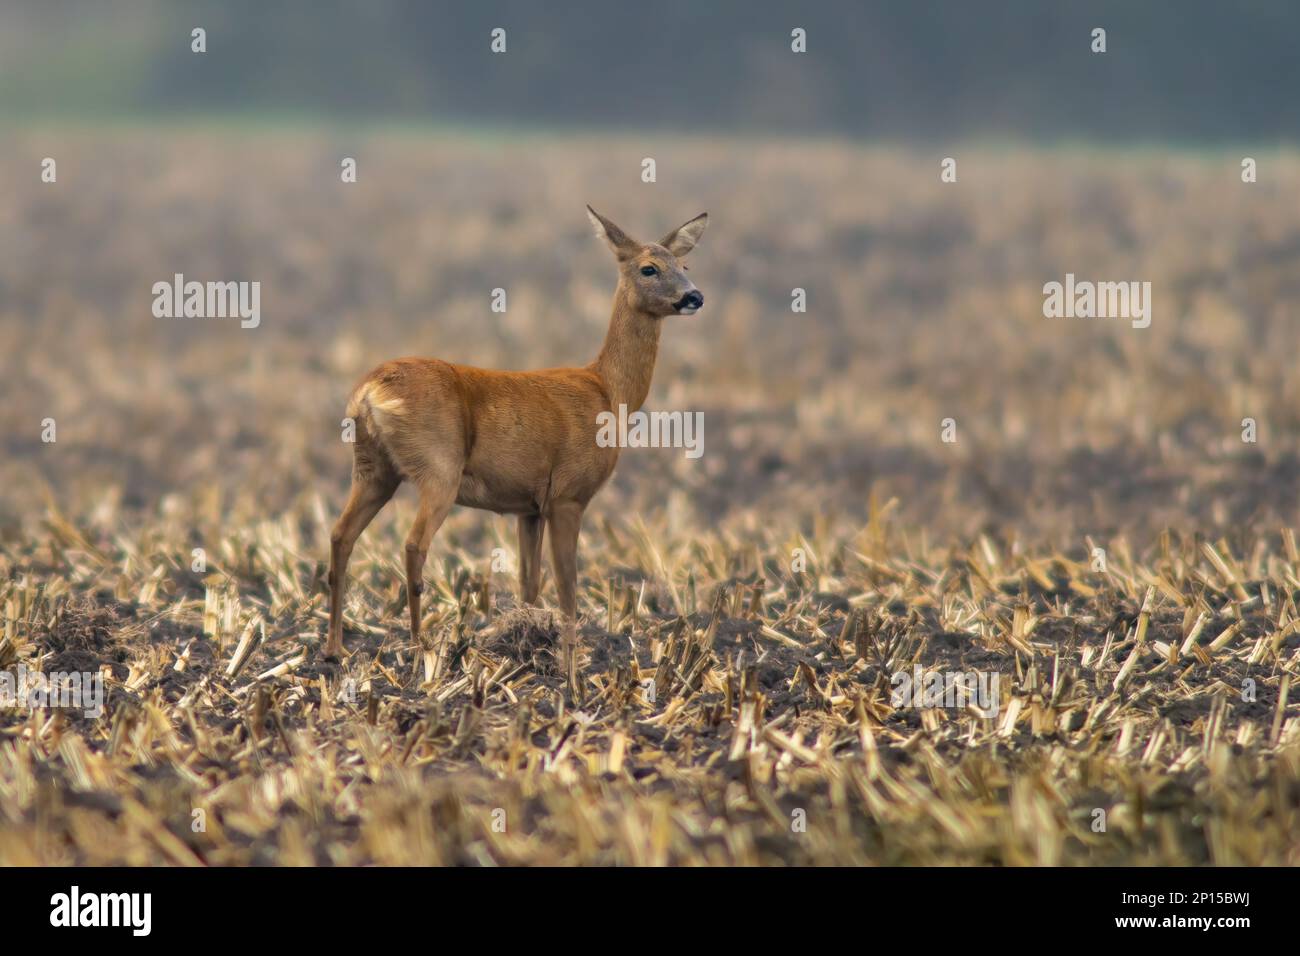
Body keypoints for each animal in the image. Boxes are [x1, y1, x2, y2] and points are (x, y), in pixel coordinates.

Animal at [324, 206, 708, 674]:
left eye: (684, 266)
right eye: (649, 268)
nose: (694, 297)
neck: (609, 391)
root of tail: (369, 391)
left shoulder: (530, 505)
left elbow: (530, 580)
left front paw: (527, 647)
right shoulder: (568, 493)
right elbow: (567, 583)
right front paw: (570, 670)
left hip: (373, 469)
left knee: (341, 536)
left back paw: (335, 649)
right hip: (439, 468)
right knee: (413, 545)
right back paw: (419, 652)